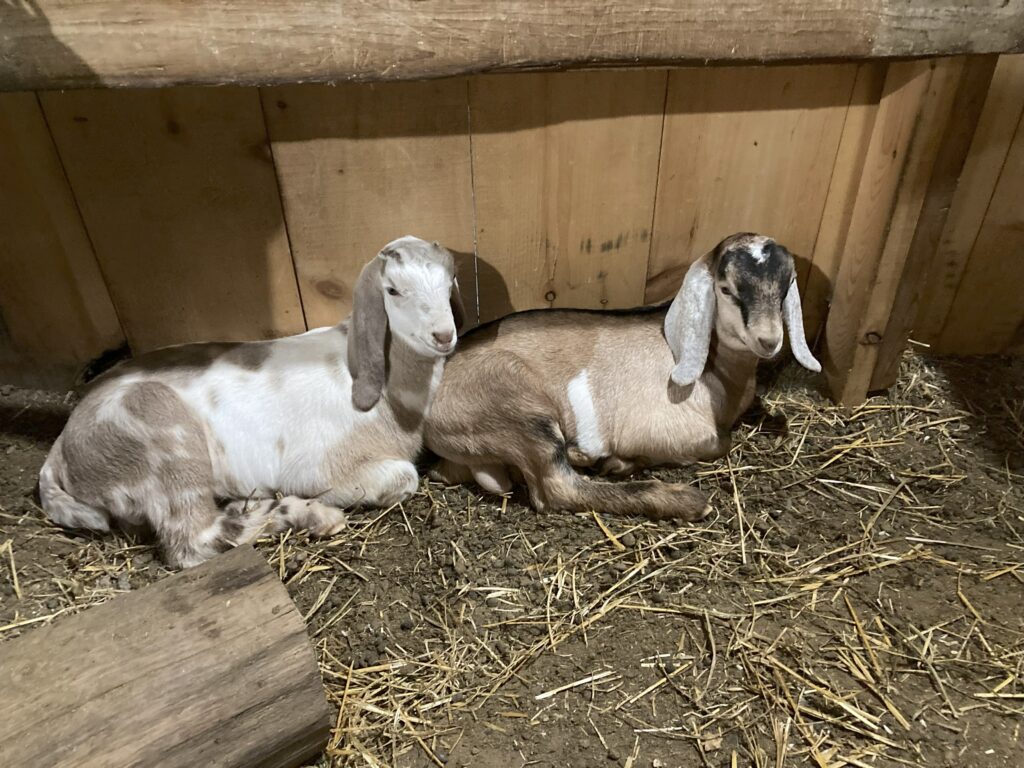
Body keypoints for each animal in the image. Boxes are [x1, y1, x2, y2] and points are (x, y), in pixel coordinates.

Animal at [39, 236, 464, 567]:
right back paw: (310, 514)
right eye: (392, 290)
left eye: (450, 281)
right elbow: (404, 477)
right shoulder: (317, 465)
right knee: (192, 542)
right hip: (163, 440)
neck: (391, 395)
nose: (443, 336)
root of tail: (61, 447)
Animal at [424, 232, 820, 520]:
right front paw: (617, 461)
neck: (716, 373)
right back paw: (684, 499)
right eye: (726, 289)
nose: (769, 340)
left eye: (786, 285)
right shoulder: (673, 429)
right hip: (519, 407)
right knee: (557, 487)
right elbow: (718, 443)